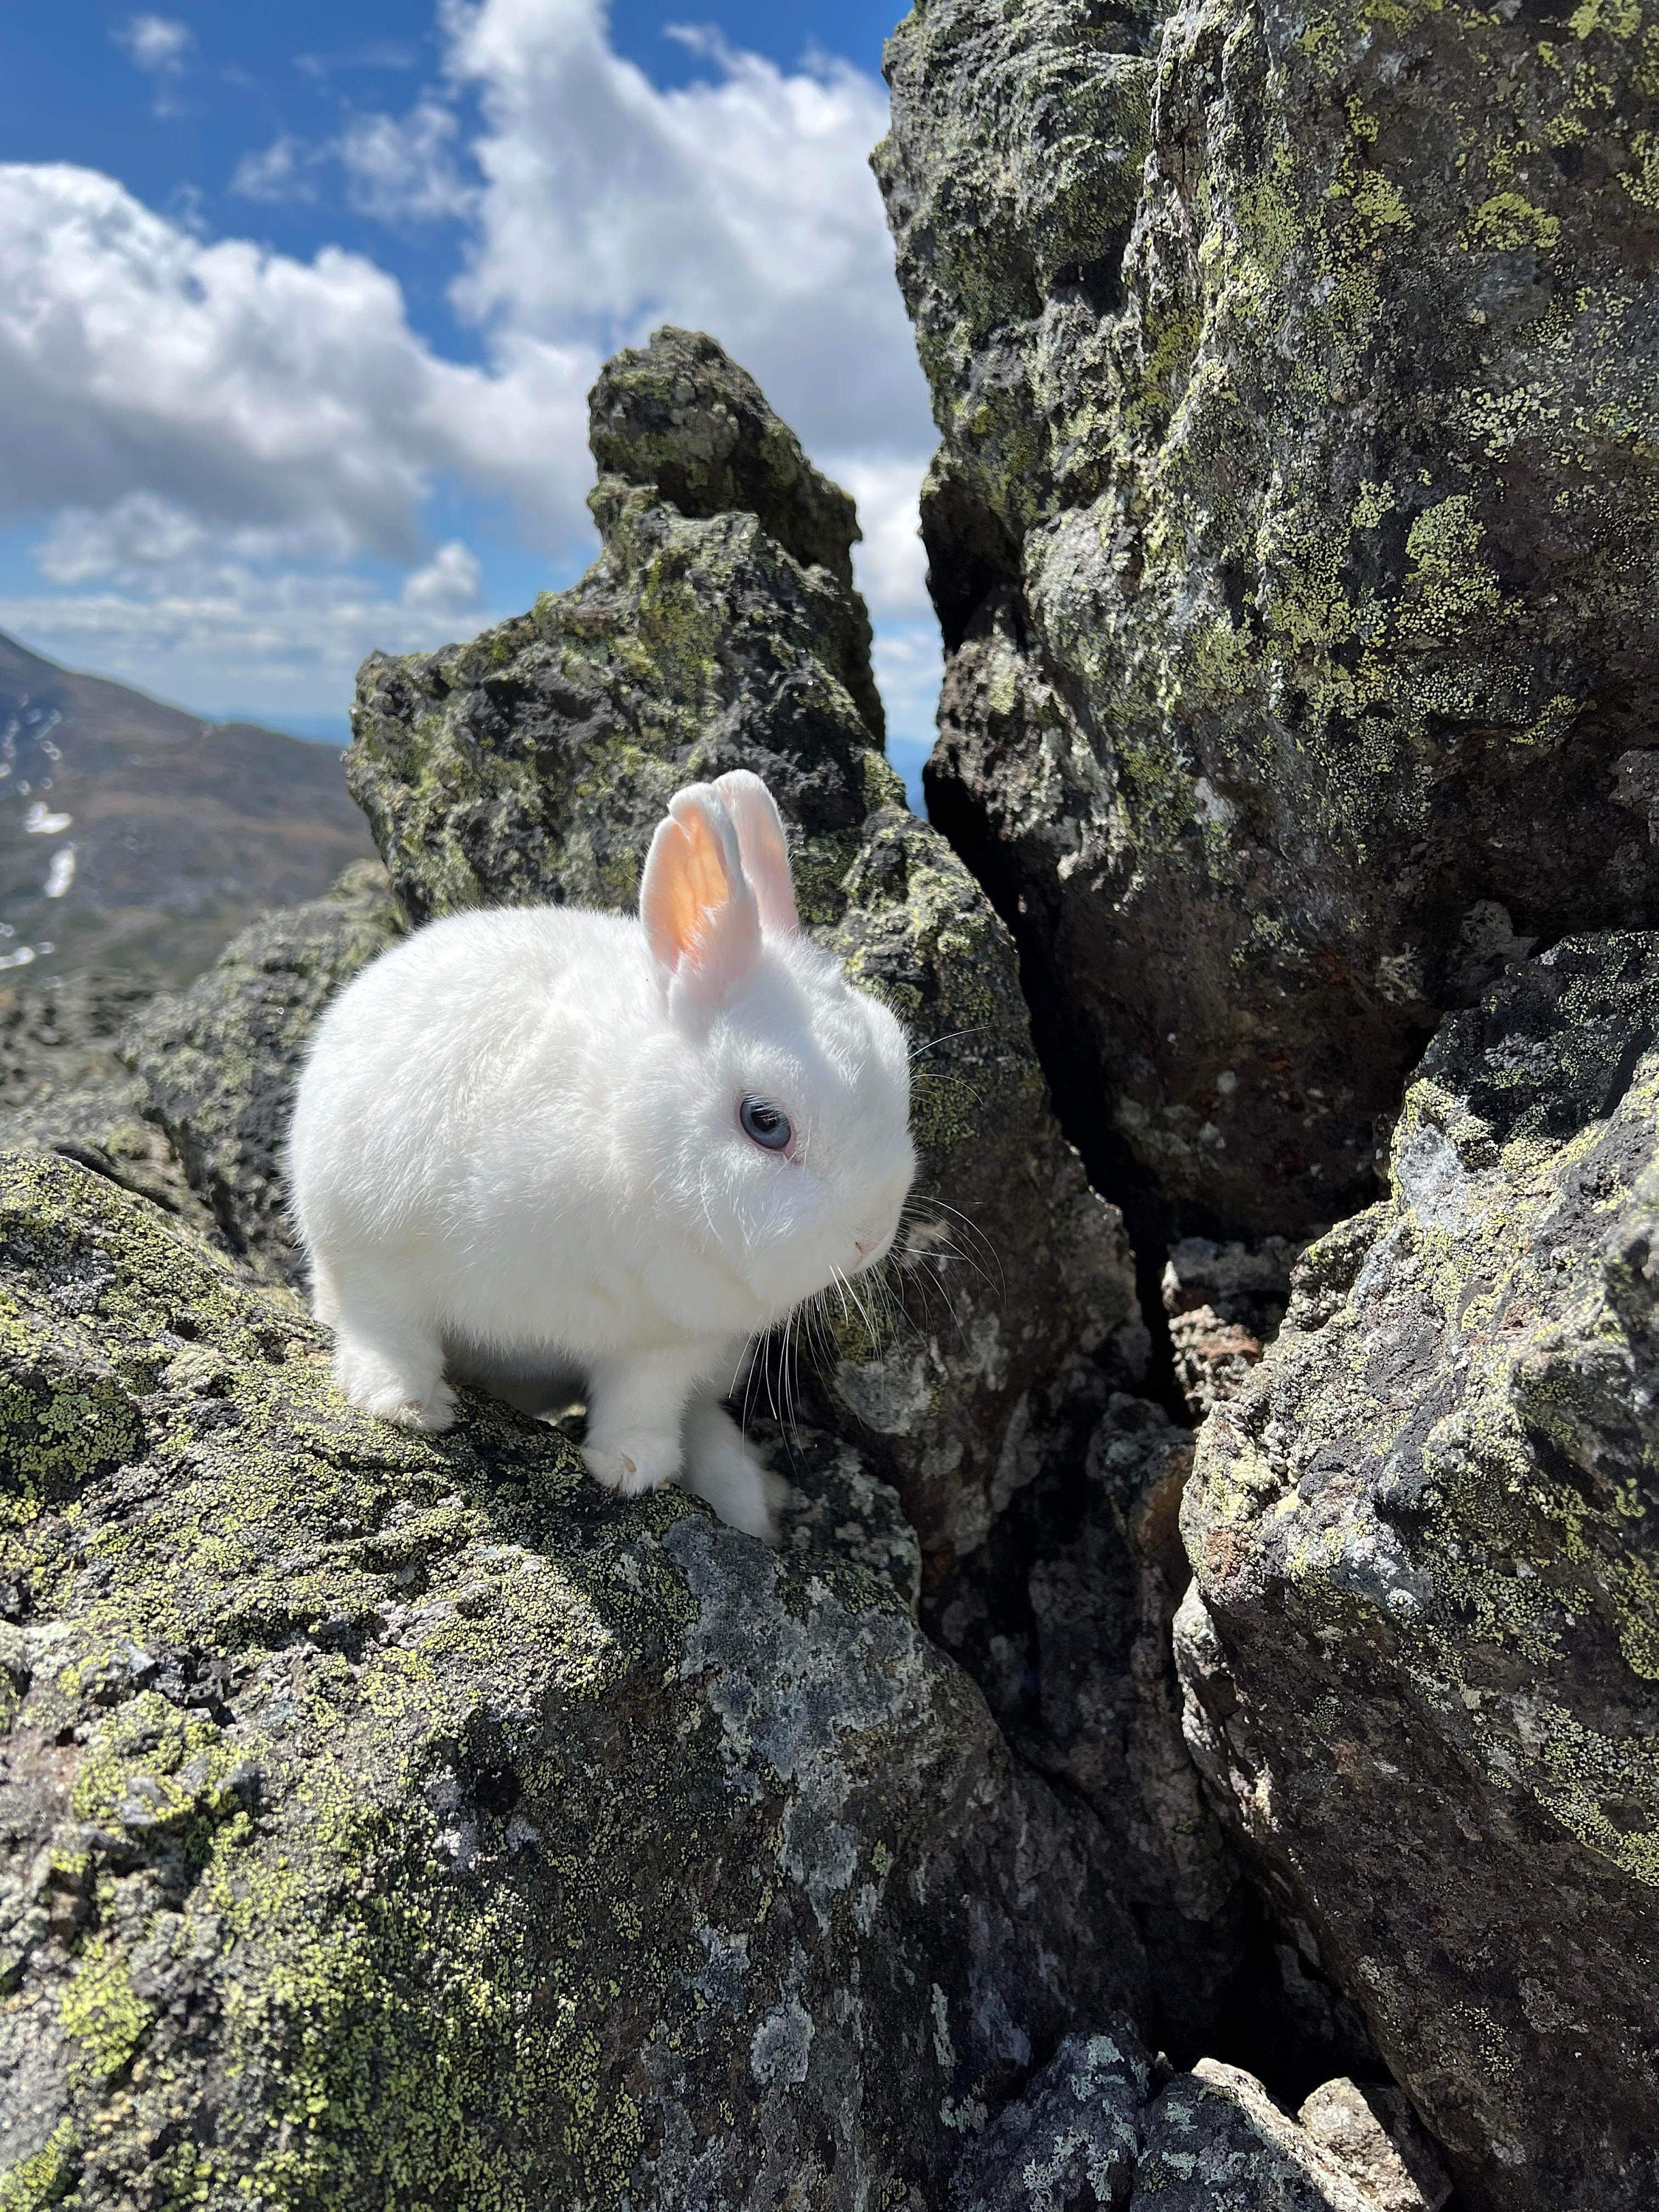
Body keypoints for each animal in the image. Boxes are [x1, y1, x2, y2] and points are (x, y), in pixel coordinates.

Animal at [286, 770, 916, 1544]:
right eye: (765, 1124)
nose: (870, 1239)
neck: (631, 1146)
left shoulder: (667, 1345)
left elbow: (641, 1403)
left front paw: (629, 1470)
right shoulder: (375, 1251)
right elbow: (391, 1332)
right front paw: (405, 1408)